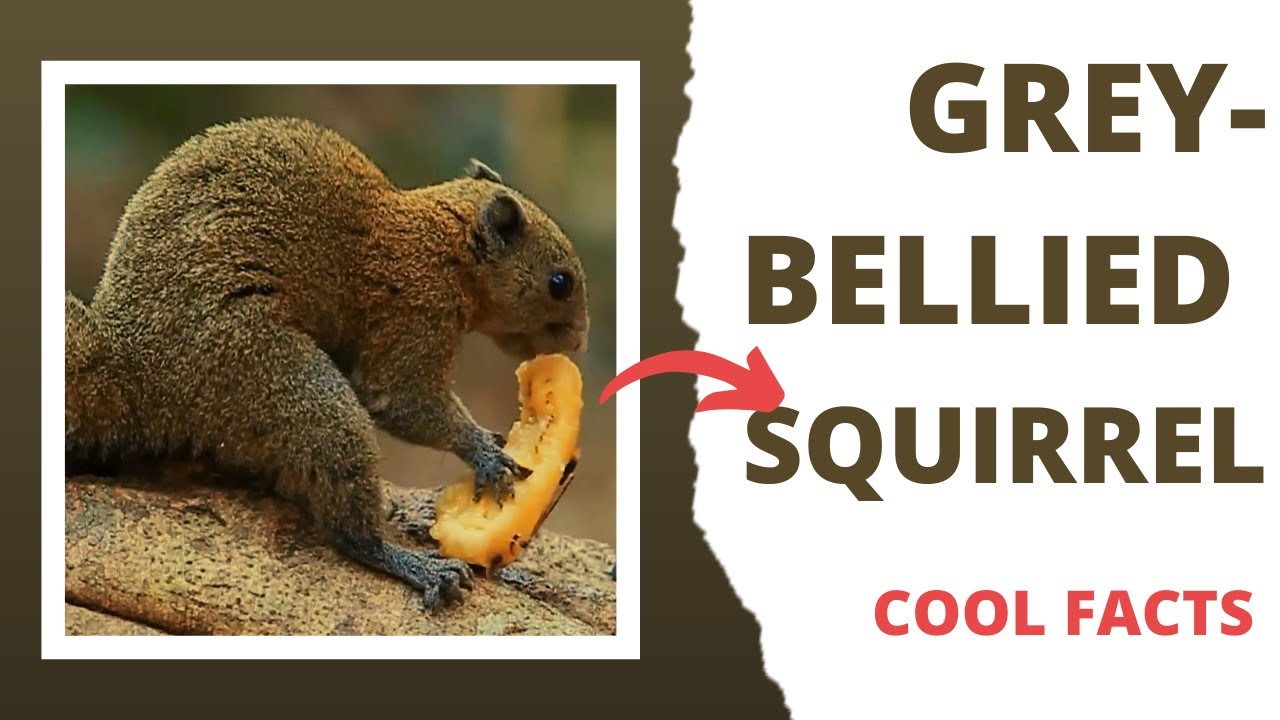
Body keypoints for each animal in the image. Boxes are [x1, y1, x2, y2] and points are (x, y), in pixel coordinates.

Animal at [65, 117, 590, 609]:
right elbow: (403, 400)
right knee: (349, 531)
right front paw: (485, 451)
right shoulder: (415, 308)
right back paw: (412, 563)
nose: (580, 341)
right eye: (559, 282)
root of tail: (135, 371)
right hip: (276, 377)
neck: (440, 243)